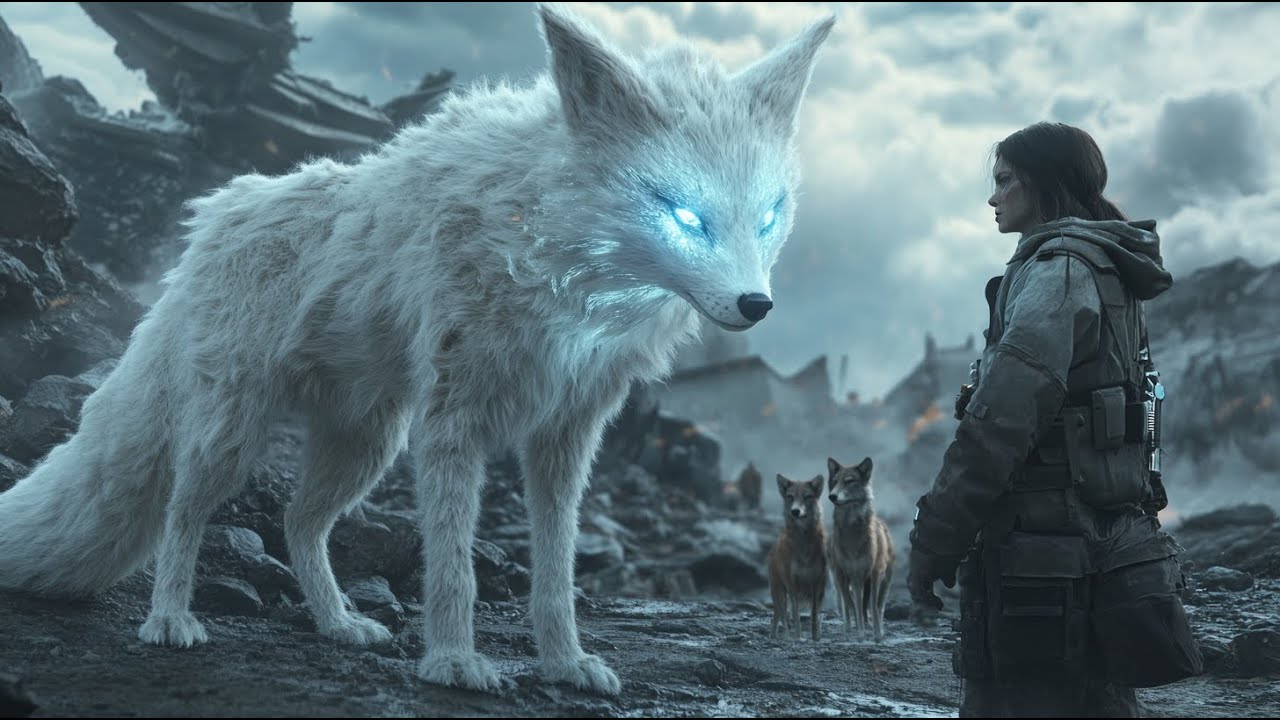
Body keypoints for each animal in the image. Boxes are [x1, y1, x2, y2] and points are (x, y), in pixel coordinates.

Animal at [767, 473, 827, 642]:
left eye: (807, 497)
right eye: (790, 497)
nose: (795, 511)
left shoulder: (817, 584)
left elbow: (814, 616)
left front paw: (815, 638)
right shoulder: (792, 584)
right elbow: (796, 617)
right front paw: (797, 638)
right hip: (779, 593)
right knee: (779, 616)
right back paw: (780, 636)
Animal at [825, 456, 895, 642]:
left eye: (849, 481)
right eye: (835, 482)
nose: (832, 496)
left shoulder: (875, 574)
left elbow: (873, 606)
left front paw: (877, 633)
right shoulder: (851, 575)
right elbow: (853, 605)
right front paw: (860, 632)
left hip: (884, 580)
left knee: (878, 605)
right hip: (842, 579)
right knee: (848, 604)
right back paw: (850, 628)